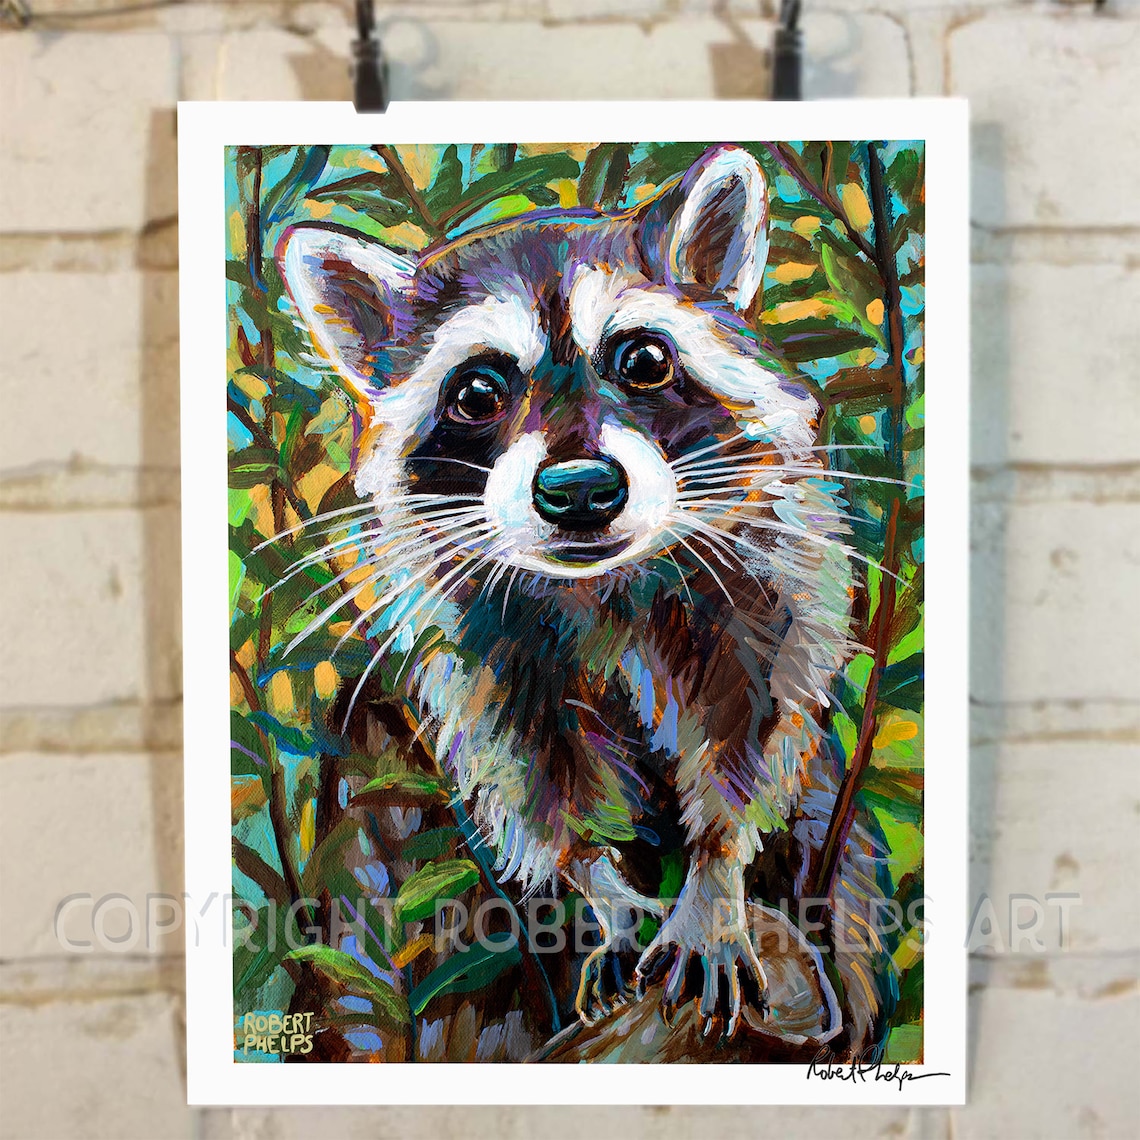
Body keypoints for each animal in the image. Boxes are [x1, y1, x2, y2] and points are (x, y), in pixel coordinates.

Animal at [279, 145, 889, 1047]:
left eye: (644, 360)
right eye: (477, 393)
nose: (578, 492)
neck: (597, 582)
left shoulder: (766, 584)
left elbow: (753, 733)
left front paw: (714, 878)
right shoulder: (480, 650)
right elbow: (538, 780)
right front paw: (607, 894)